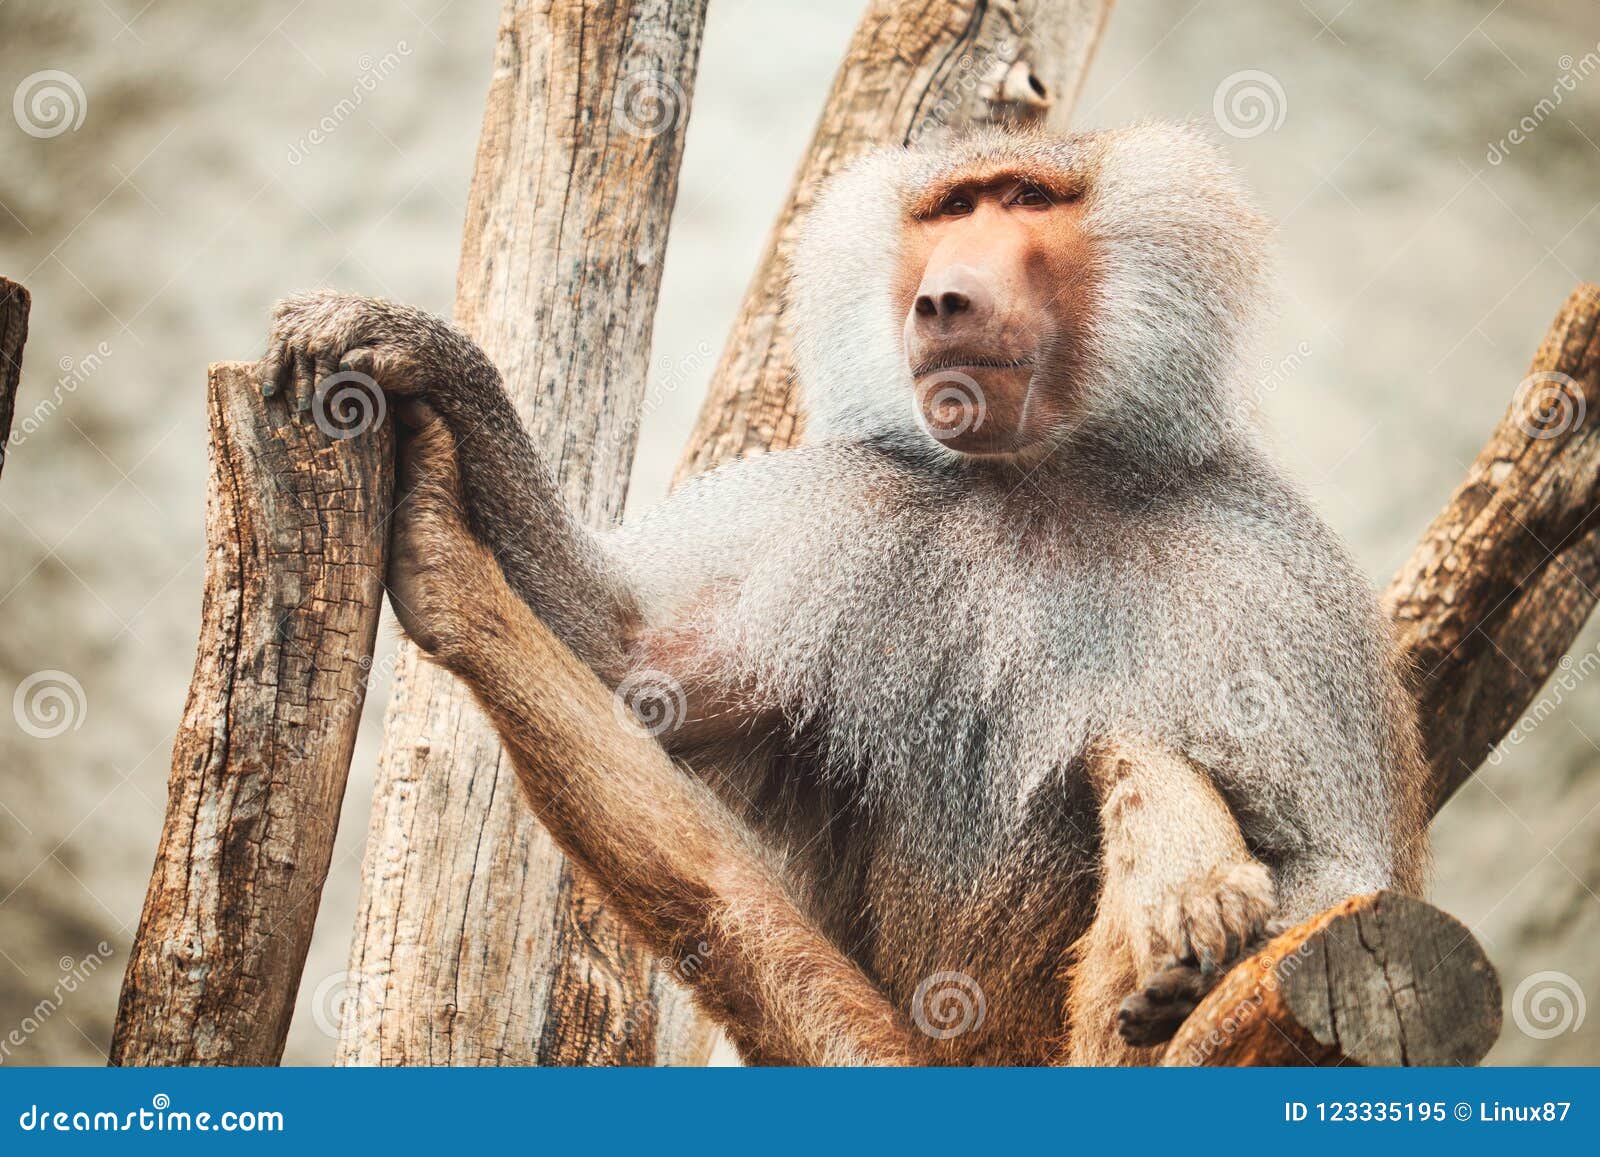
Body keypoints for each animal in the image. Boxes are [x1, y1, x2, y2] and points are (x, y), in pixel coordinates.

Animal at [260, 121, 1430, 1066]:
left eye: (1027, 199)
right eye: (950, 208)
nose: (943, 296)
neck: (1035, 485)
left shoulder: (1271, 574)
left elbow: (1333, 880)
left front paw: (1195, 913)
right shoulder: (854, 520)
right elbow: (632, 657)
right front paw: (437, 375)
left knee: (1137, 758)